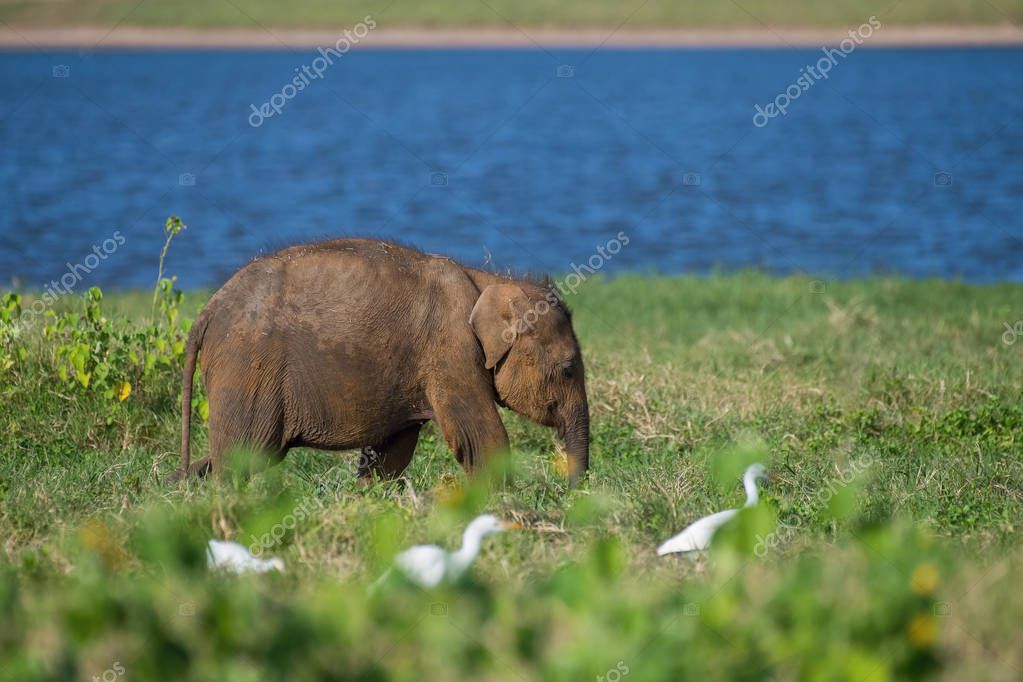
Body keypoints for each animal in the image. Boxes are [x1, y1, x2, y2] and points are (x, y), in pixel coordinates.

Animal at [171, 238, 590, 484]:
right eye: (568, 369)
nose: (570, 494)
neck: (487, 280)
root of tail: (207, 311)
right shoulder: (450, 351)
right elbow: (480, 437)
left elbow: (392, 451)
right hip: (248, 369)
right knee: (243, 457)